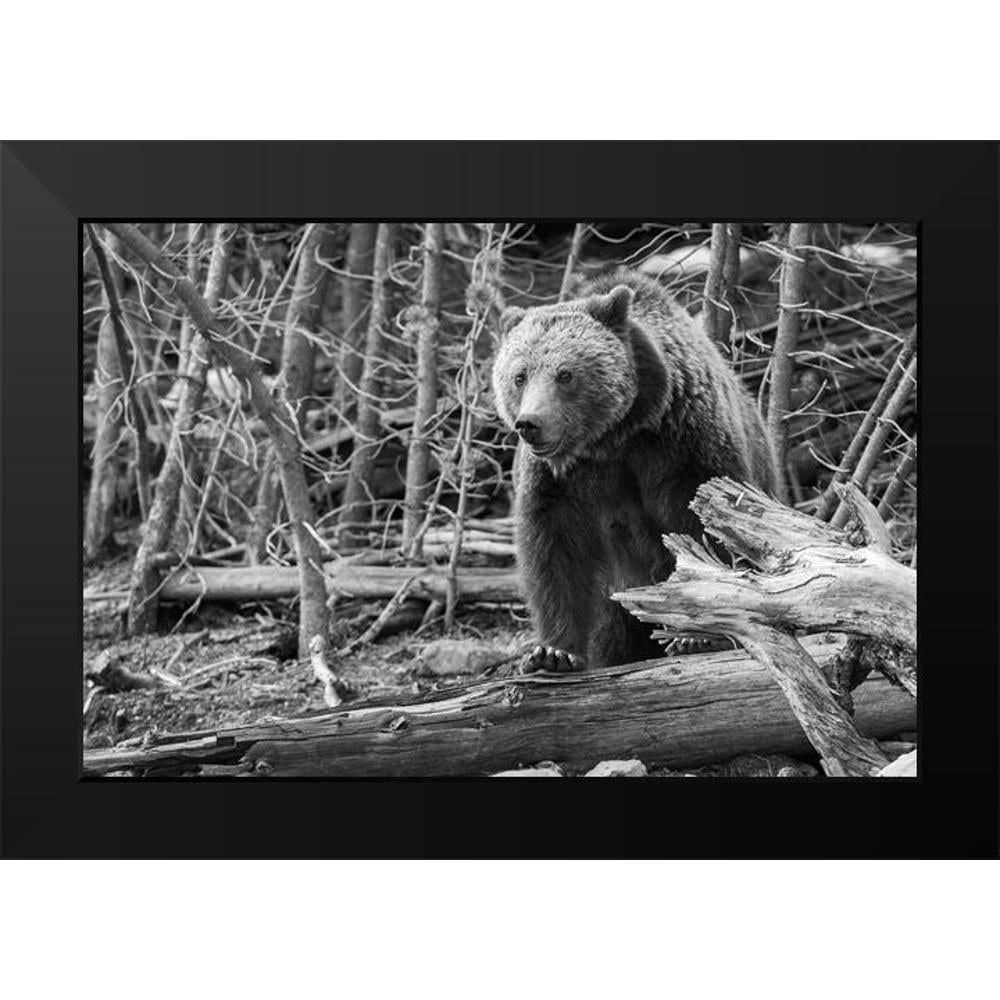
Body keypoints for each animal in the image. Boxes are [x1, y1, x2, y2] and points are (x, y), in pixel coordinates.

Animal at [491, 267, 777, 673]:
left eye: (565, 374)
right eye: (519, 375)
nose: (530, 423)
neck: (612, 436)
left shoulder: (683, 447)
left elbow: (703, 529)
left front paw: (696, 636)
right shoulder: (558, 480)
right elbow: (555, 552)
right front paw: (554, 652)